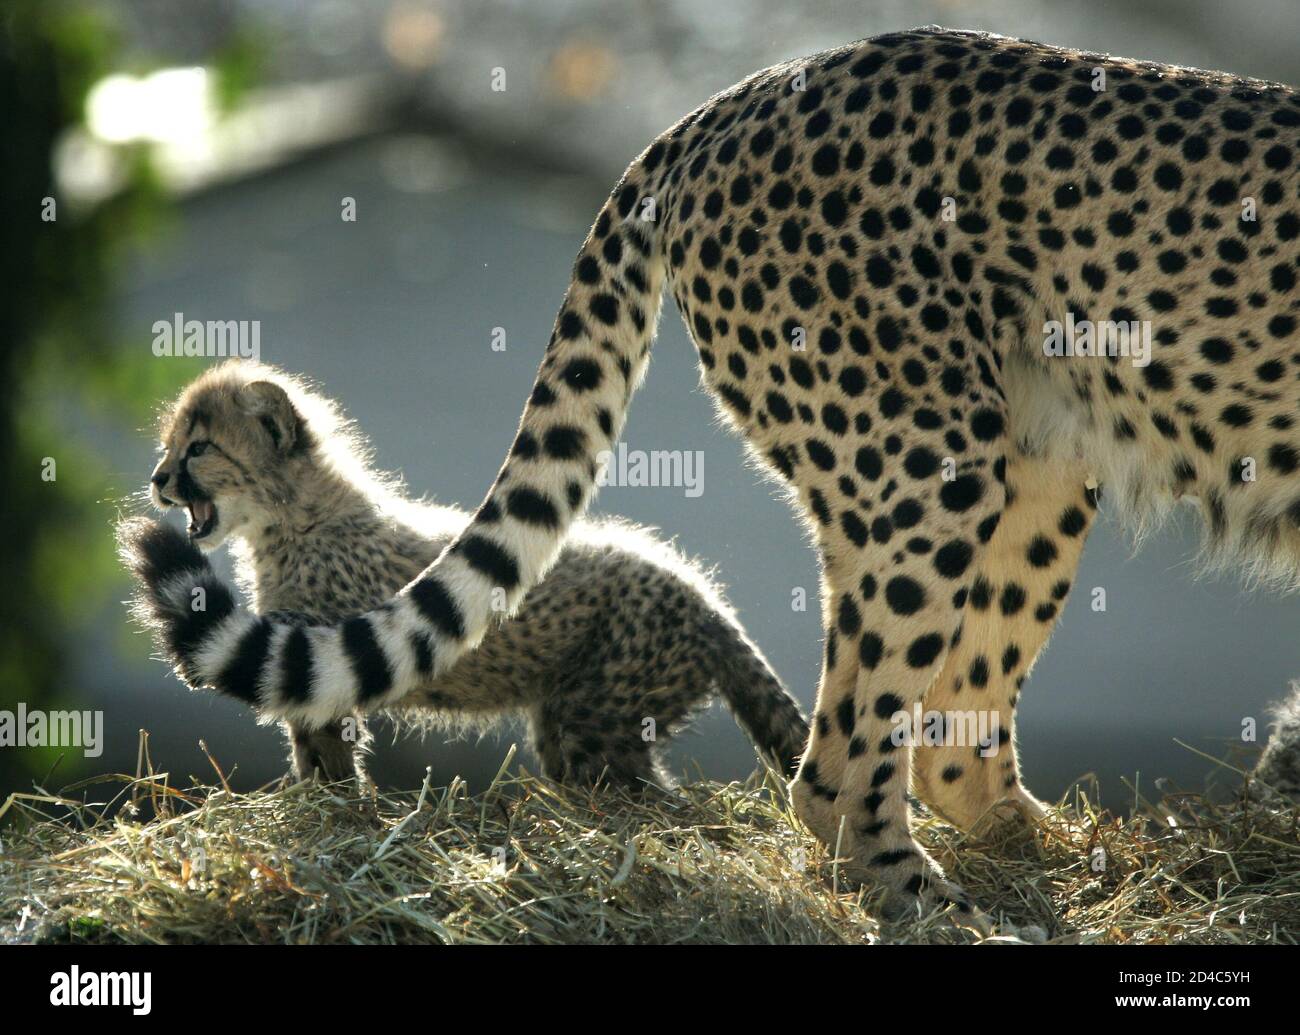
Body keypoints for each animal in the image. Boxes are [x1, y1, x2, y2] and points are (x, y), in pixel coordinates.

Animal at [119, 360, 808, 787]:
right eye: (171, 445)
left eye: (199, 448)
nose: (156, 479)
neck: (296, 517)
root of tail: (702, 592)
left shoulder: (314, 667)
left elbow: (325, 755)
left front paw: (331, 814)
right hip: (576, 719)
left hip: (599, 721)